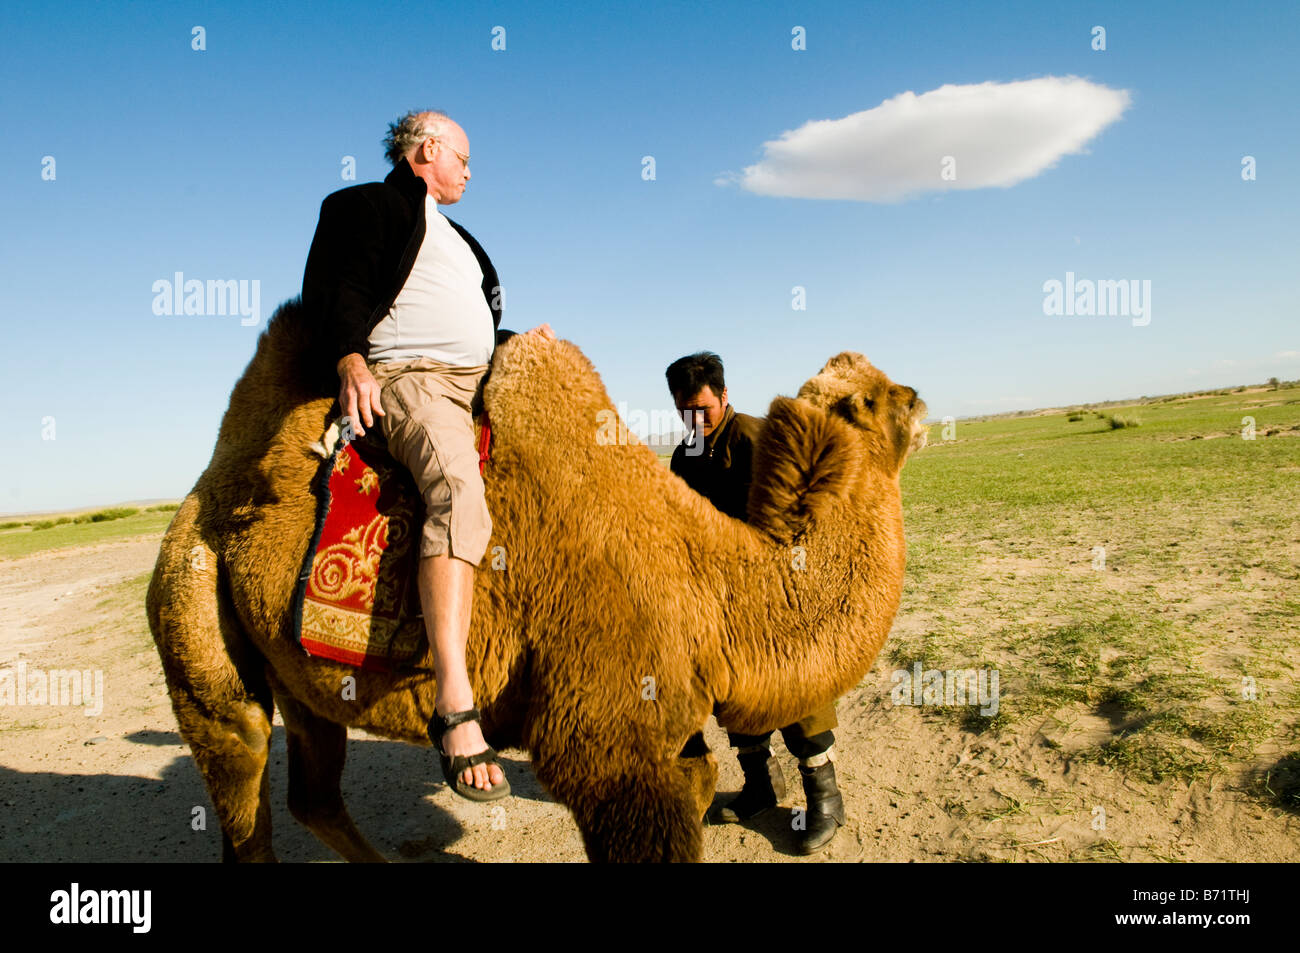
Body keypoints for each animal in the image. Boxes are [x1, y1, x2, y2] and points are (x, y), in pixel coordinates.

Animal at [145, 297, 928, 862]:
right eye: (865, 401)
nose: (920, 398)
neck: (707, 582)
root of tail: (199, 493)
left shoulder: (665, 730)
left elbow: (707, 774)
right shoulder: (609, 749)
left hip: (300, 674)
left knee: (311, 793)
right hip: (193, 606)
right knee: (244, 776)